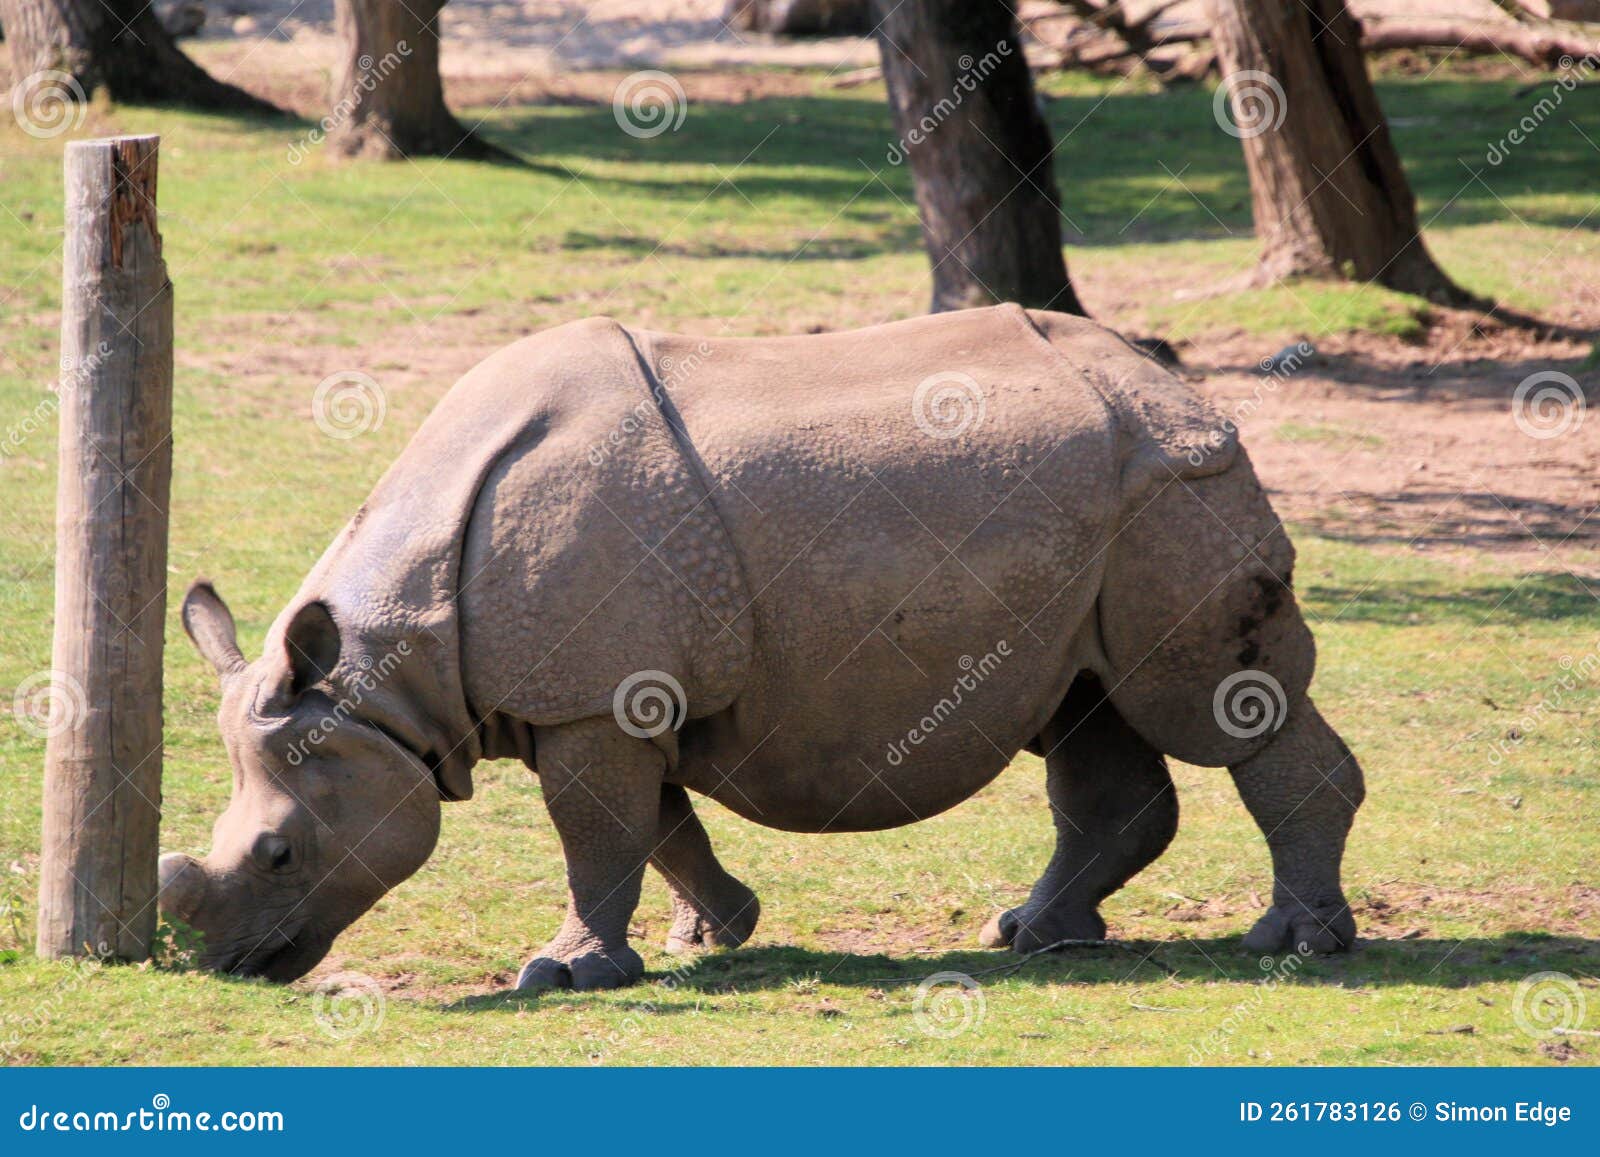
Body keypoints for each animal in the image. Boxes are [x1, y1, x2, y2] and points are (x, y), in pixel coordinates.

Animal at [160, 305, 1364, 989]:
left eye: (278, 853)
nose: (231, 969)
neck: (387, 680)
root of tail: (1174, 382)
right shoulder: (619, 693)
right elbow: (653, 825)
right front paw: (714, 929)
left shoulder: (591, 696)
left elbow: (597, 833)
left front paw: (561, 973)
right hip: (1107, 510)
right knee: (1086, 705)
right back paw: (1037, 933)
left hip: (1174, 482)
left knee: (1210, 704)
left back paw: (1289, 945)